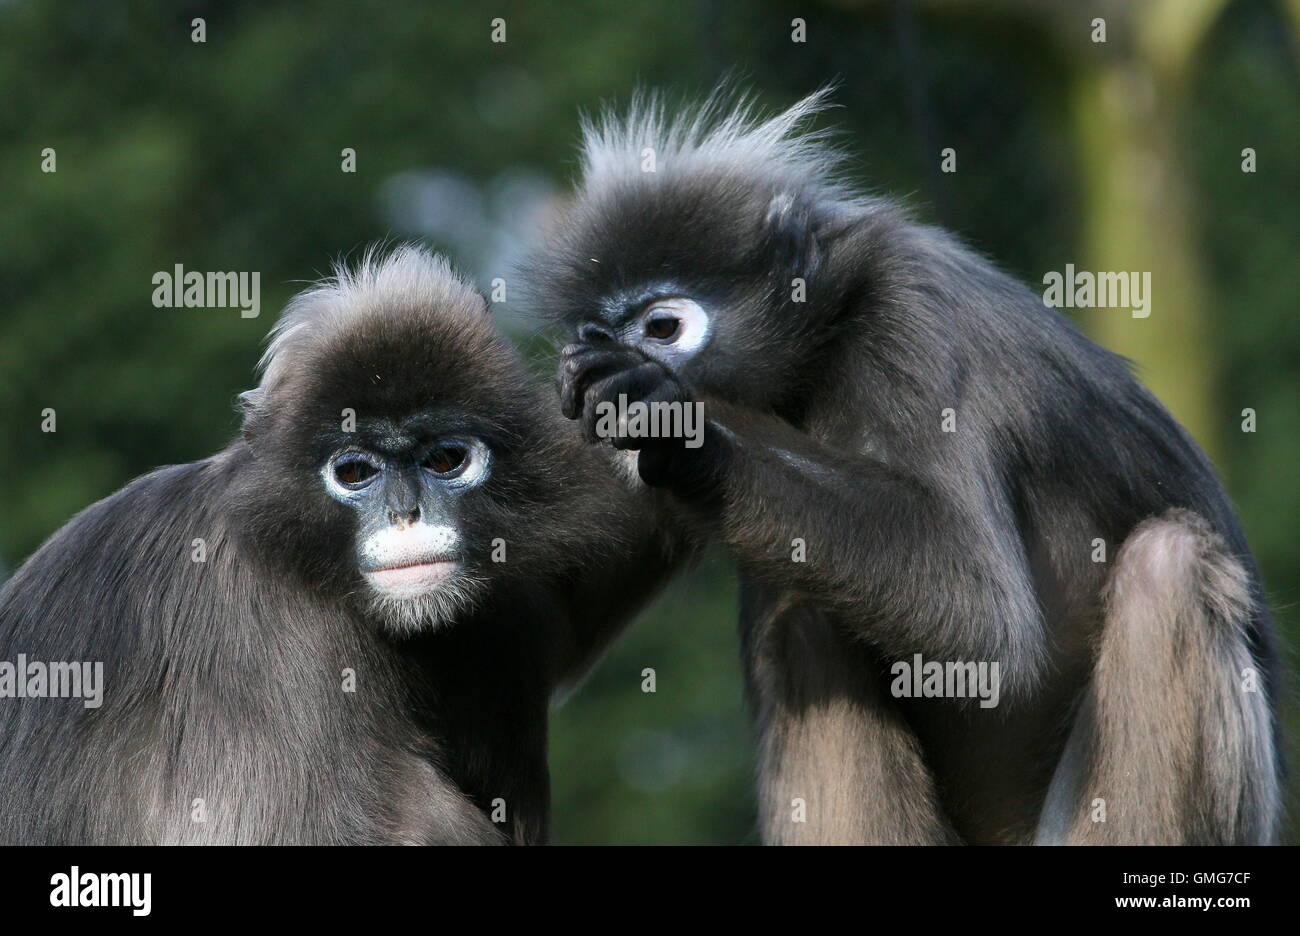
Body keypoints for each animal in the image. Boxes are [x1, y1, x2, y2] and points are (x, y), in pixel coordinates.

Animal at [529, 90, 1282, 845]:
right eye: (596, 333)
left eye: (662, 329)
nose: (621, 365)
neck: (828, 347)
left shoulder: (917, 316)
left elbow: (982, 618)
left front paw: (682, 426)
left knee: (1167, 563)